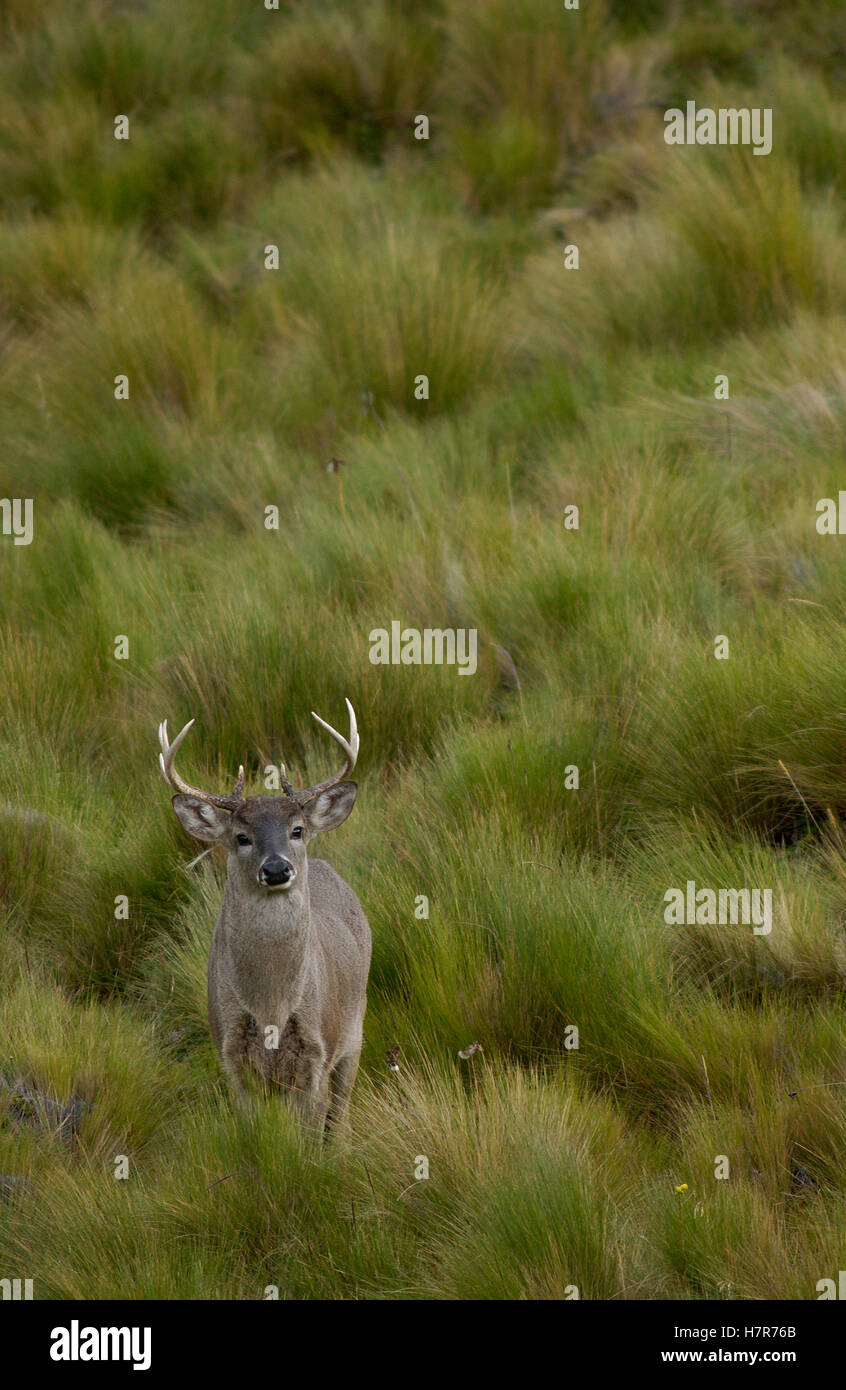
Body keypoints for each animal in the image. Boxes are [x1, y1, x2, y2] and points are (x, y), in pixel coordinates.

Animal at [157, 699, 370, 1135]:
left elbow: (311, 1133)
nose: (276, 869)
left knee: (340, 1116)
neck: (271, 1007)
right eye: (242, 837)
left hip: (355, 1031)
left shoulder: (317, 1051)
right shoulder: (231, 1052)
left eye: (298, 829)